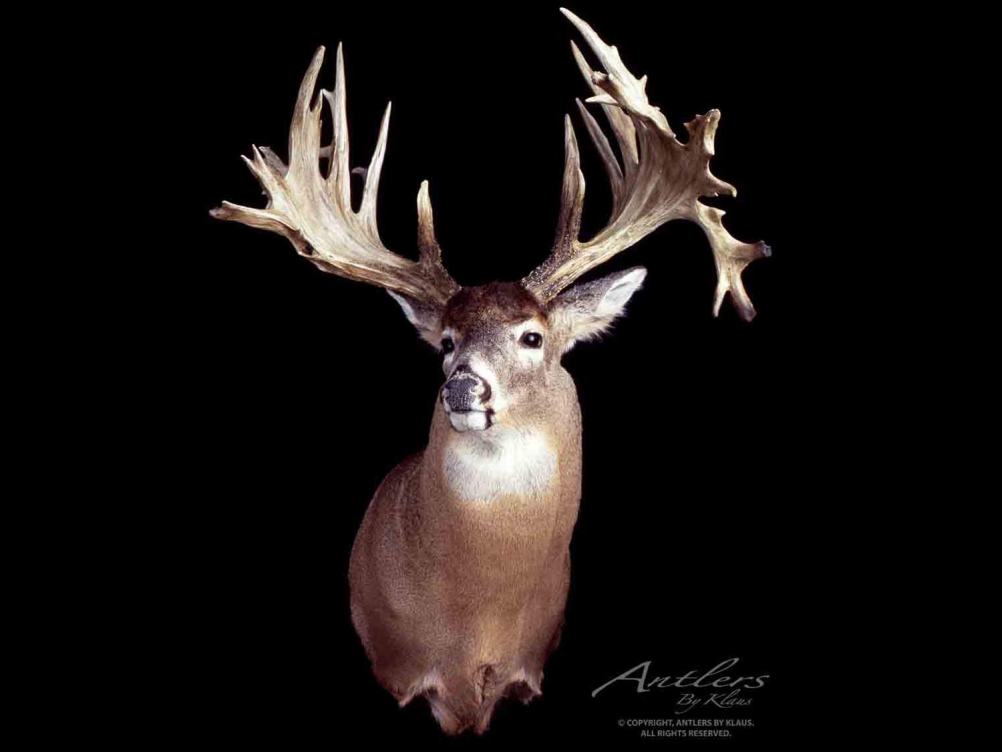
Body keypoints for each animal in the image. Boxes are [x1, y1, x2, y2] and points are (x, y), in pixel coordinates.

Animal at [211, 9, 769, 735]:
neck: (479, 621)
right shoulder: (404, 673)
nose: (462, 385)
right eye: (445, 343)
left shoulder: (527, 673)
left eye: (533, 337)